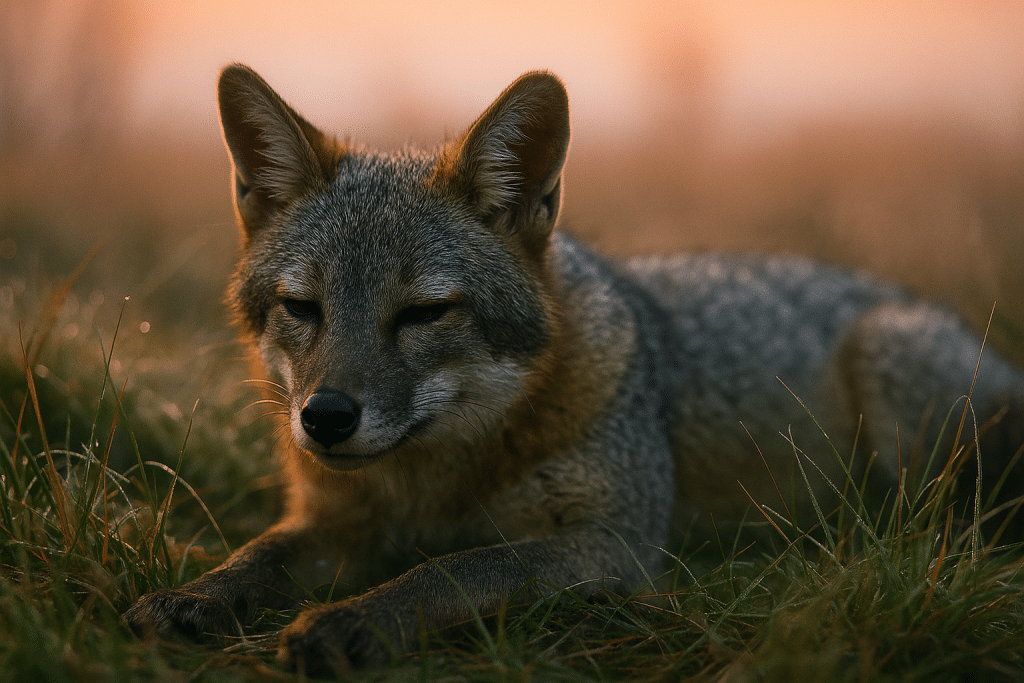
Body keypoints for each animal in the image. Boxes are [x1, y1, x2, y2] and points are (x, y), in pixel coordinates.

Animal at [123, 65, 1024, 677]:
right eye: (302, 307)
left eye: (424, 312)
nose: (325, 417)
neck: (436, 485)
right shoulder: (335, 522)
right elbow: (259, 554)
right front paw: (201, 593)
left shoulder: (611, 542)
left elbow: (458, 566)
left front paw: (357, 620)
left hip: (893, 373)